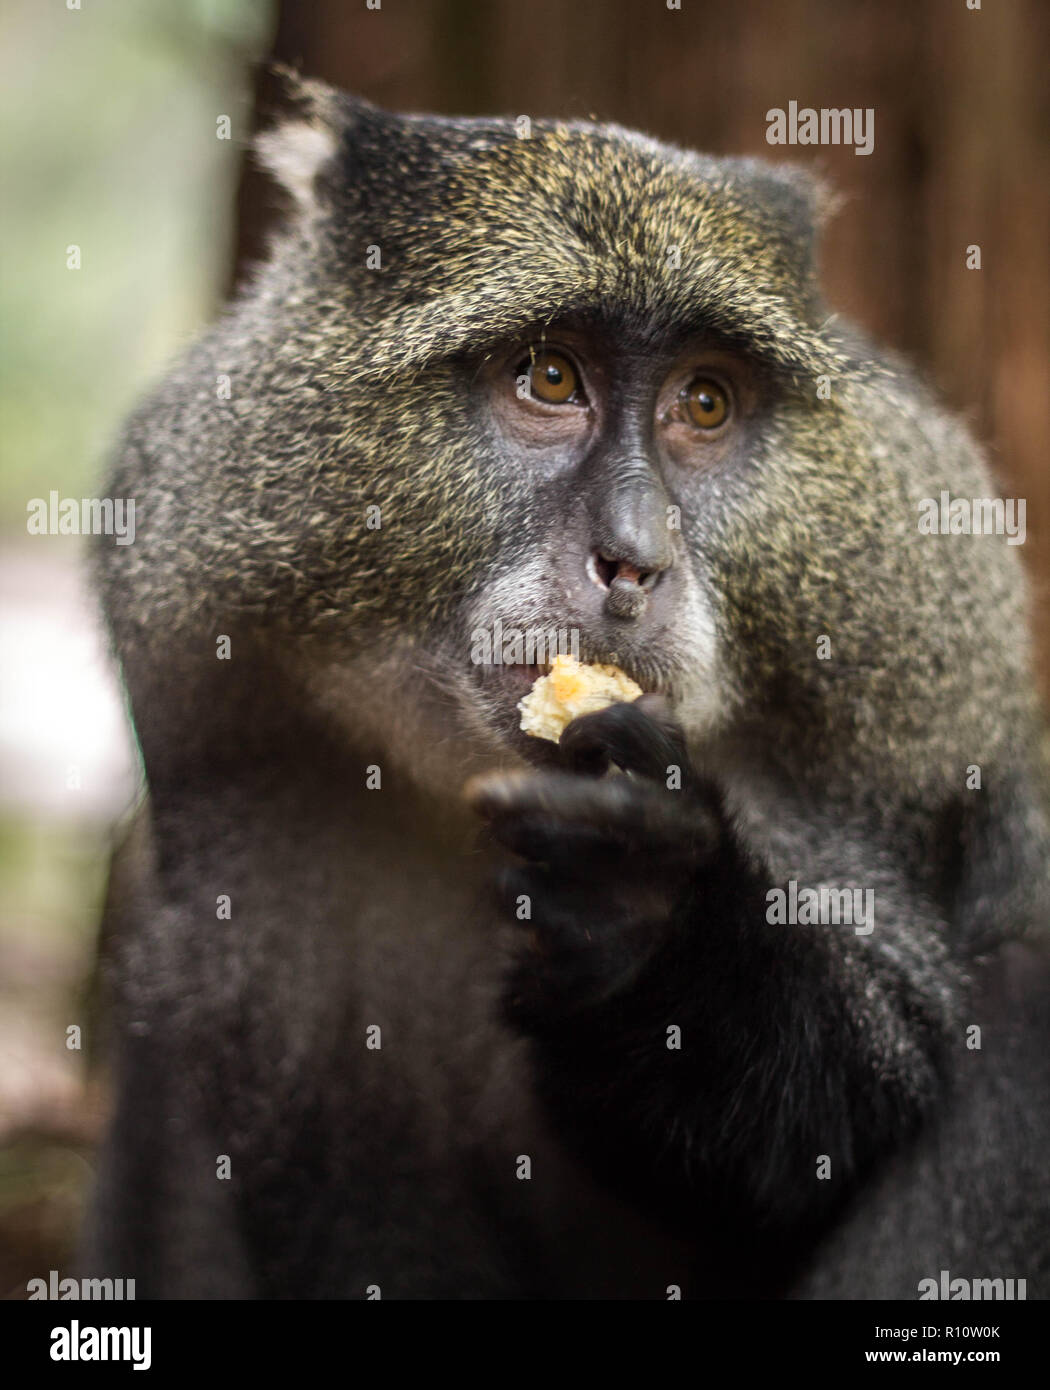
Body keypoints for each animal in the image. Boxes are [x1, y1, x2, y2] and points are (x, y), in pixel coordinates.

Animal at [82, 79, 1050, 1300]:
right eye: (549, 376)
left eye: (705, 402)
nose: (635, 557)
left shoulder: (895, 709)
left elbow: (839, 1116)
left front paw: (651, 920)